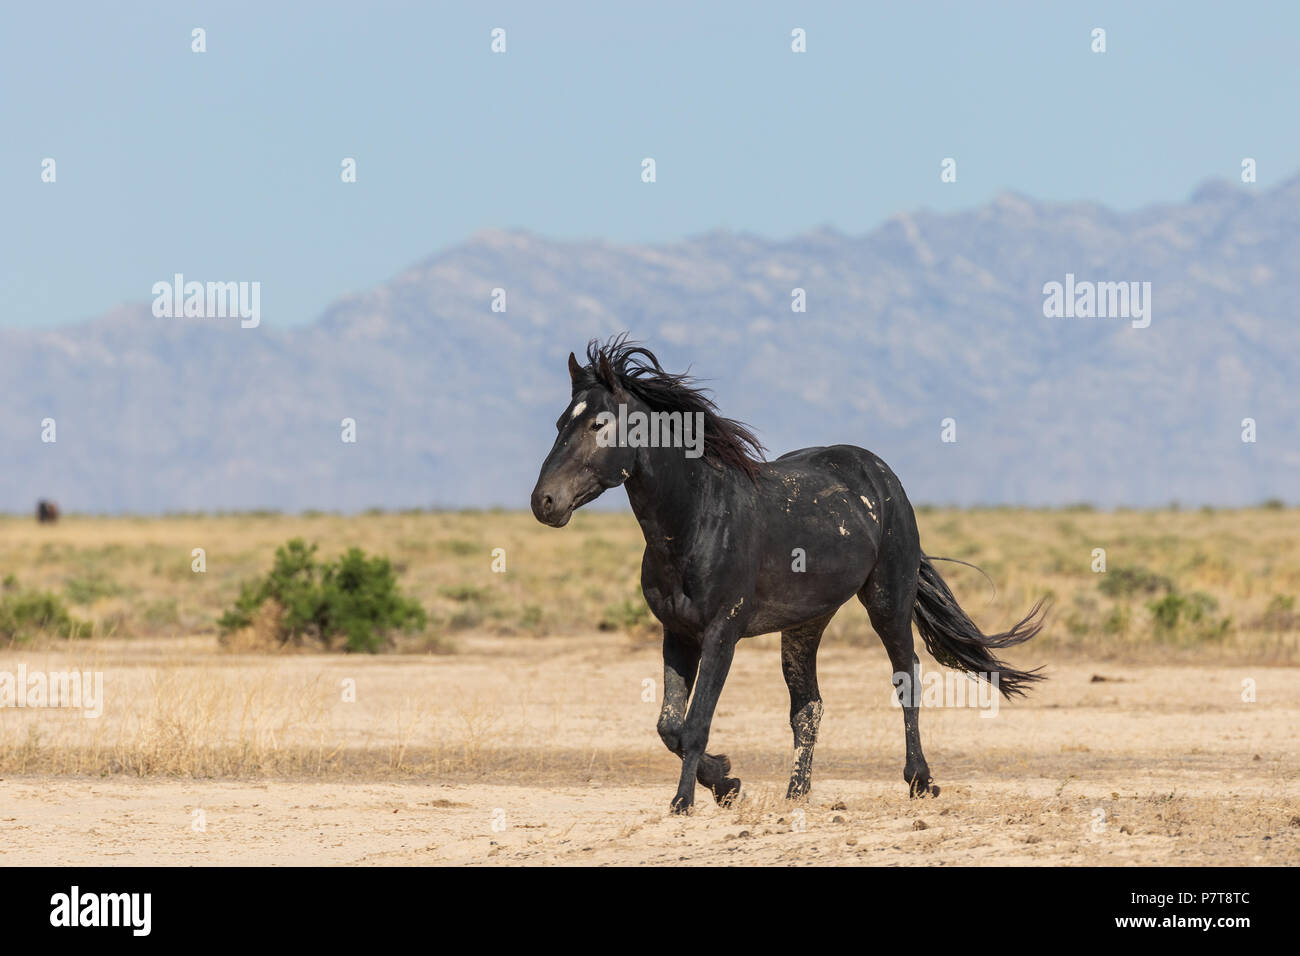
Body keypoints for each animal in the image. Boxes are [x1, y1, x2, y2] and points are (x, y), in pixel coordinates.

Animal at [530, 336, 1046, 813]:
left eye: (599, 424)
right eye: (559, 423)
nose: (544, 502)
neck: (697, 518)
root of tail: (880, 473)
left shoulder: (722, 632)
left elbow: (695, 723)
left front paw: (686, 799)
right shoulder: (676, 634)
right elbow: (669, 726)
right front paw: (726, 781)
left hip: (887, 603)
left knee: (907, 678)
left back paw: (920, 780)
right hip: (805, 624)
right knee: (808, 706)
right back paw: (797, 792)